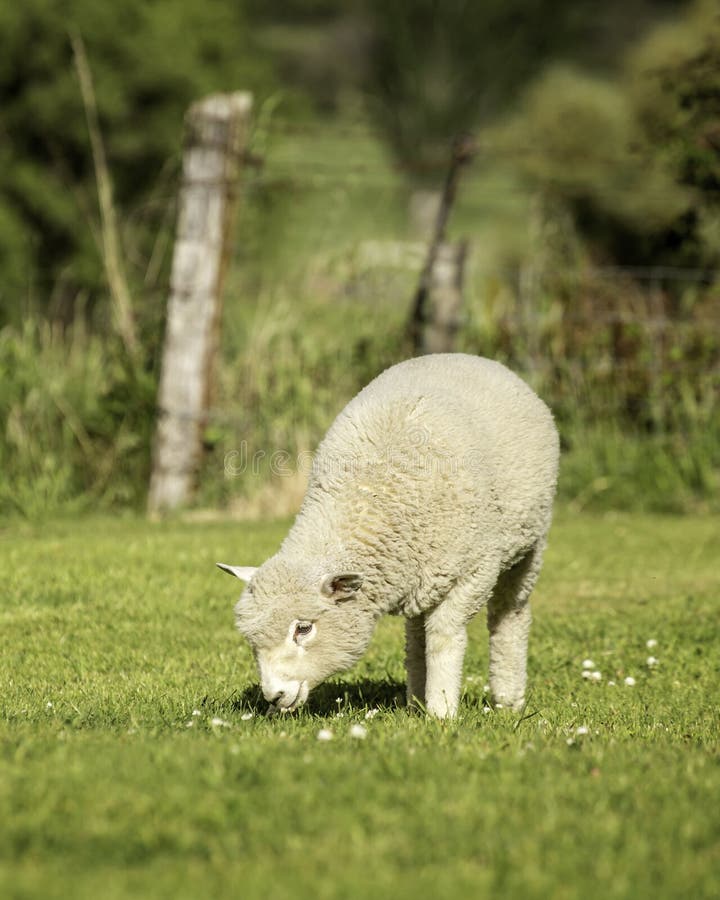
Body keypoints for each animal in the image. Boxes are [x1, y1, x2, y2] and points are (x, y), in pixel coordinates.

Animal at [218, 353, 559, 718]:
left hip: (529, 543)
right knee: (416, 634)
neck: (370, 496)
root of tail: (467, 356)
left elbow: (444, 636)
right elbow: (421, 641)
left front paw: (442, 712)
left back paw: (508, 699)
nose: (274, 696)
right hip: (424, 577)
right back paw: (417, 700)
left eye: (304, 628)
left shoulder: (473, 572)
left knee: (509, 613)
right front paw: (425, 705)